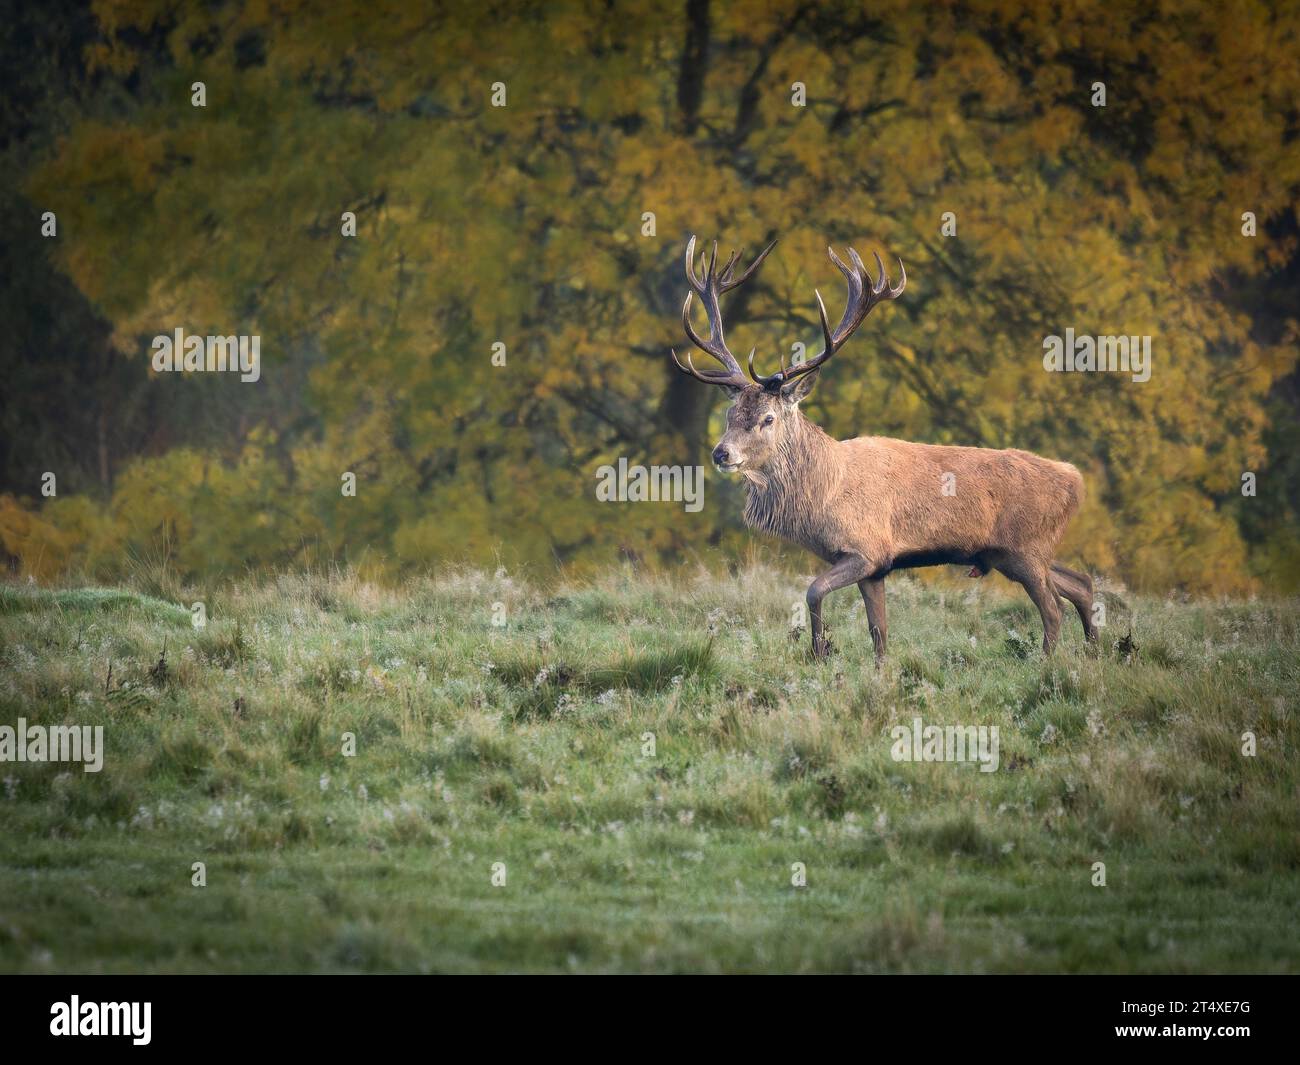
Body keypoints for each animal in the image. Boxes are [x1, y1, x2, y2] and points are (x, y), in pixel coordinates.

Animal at [670, 235, 1097, 662]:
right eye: (730, 413)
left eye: (768, 418)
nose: (721, 453)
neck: (825, 494)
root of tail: (1075, 480)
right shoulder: (875, 569)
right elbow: (879, 632)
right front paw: (875, 669)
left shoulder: (868, 549)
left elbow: (813, 591)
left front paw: (821, 650)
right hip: (1013, 552)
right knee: (1082, 583)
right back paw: (1095, 652)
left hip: (1025, 547)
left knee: (1053, 608)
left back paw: (1049, 663)